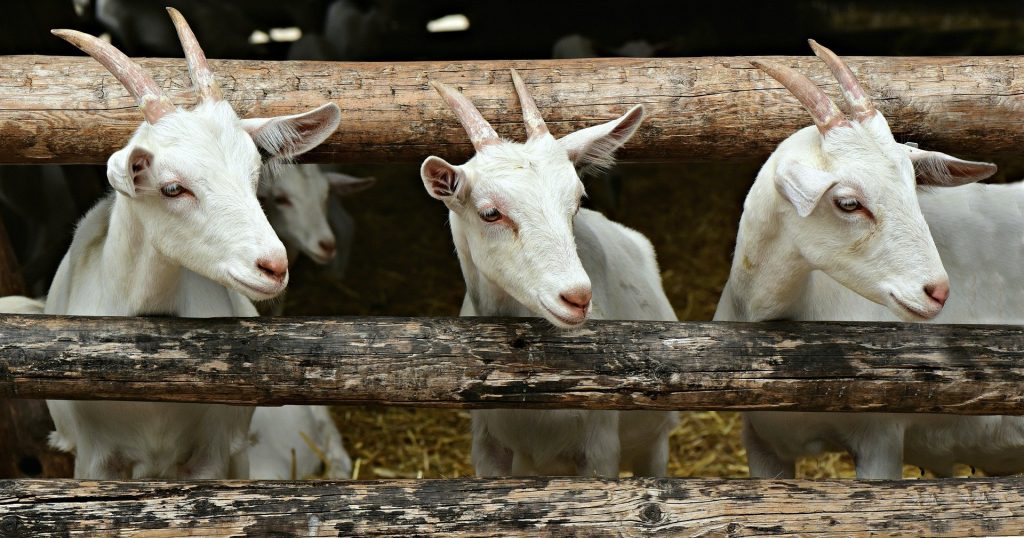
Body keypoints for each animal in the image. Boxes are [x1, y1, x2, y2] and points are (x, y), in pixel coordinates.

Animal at [420, 70, 678, 477]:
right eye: (490, 213)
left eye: (578, 200)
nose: (577, 297)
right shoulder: (488, 445)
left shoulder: (600, 448)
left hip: (655, 441)